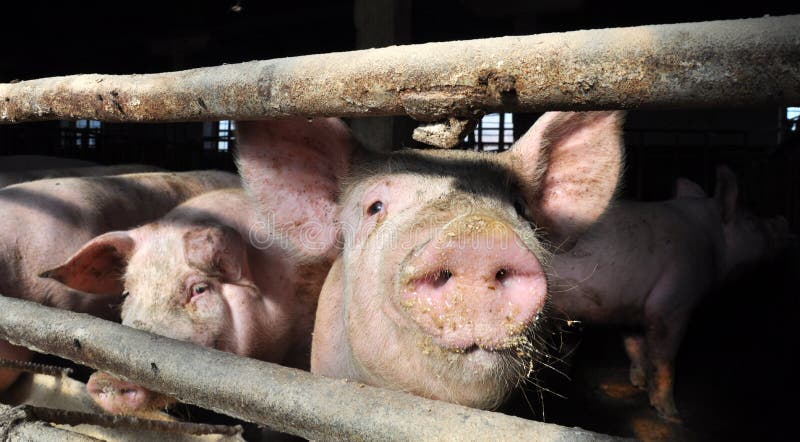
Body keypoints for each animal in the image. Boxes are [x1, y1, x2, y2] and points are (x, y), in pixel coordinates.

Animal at [547, 165, 793, 422]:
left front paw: (639, 384)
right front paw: (673, 416)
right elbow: (664, 360)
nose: (783, 221)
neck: (711, 244)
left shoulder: (631, 305)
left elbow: (635, 346)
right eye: (752, 221)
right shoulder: (671, 305)